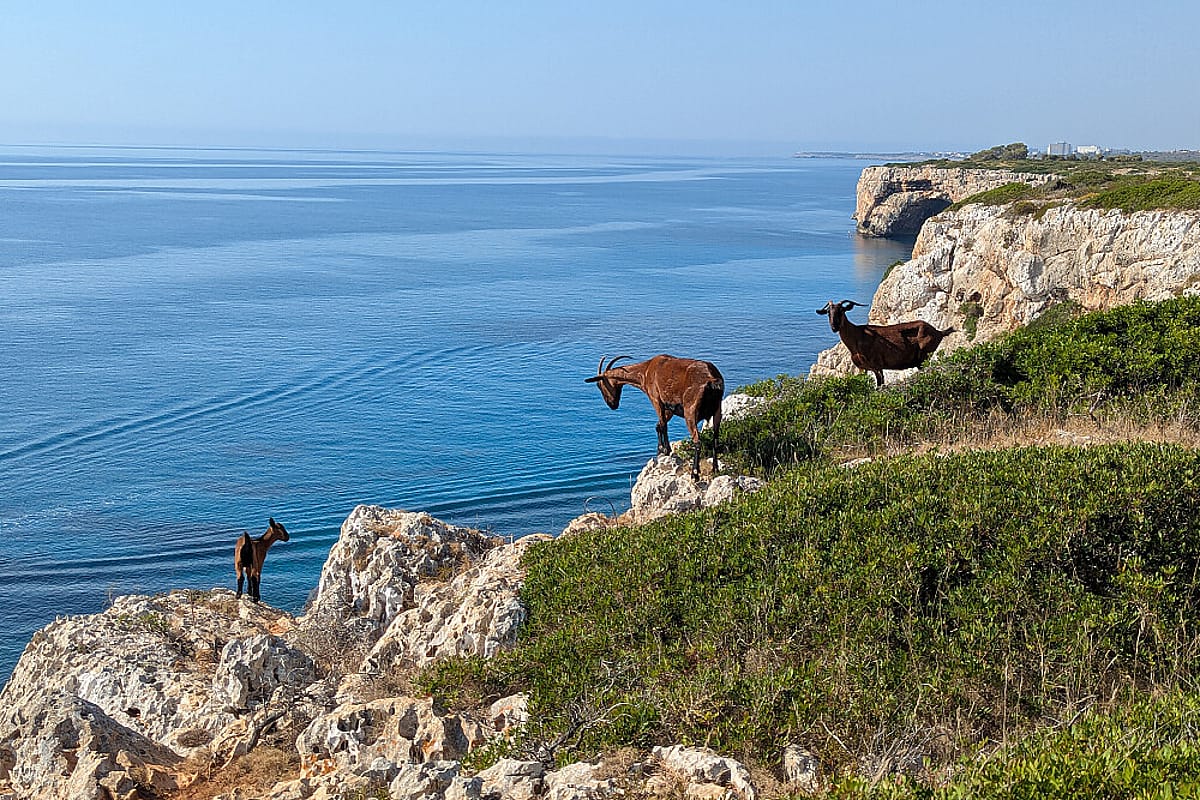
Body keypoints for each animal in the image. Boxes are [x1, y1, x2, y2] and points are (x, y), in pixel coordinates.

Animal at [586, 354, 725, 479]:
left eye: (599, 385)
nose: (612, 404)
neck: (645, 371)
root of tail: (712, 380)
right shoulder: (669, 408)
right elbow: (659, 425)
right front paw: (661, 450)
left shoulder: (656, 400)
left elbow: (663, 425)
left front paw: (666, 450)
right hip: (718, 410)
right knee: (715, 438)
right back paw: (715, 469)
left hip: (690, 411)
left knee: (697, 440)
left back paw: (694, 474)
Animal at [817, 299, 955, 387]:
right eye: (828, 312)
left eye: (841, 310)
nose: (834, 327)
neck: (857, 337)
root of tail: (938, 332)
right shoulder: (863, 368)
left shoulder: (877, 365)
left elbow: (880, 384)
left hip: (924, 355)